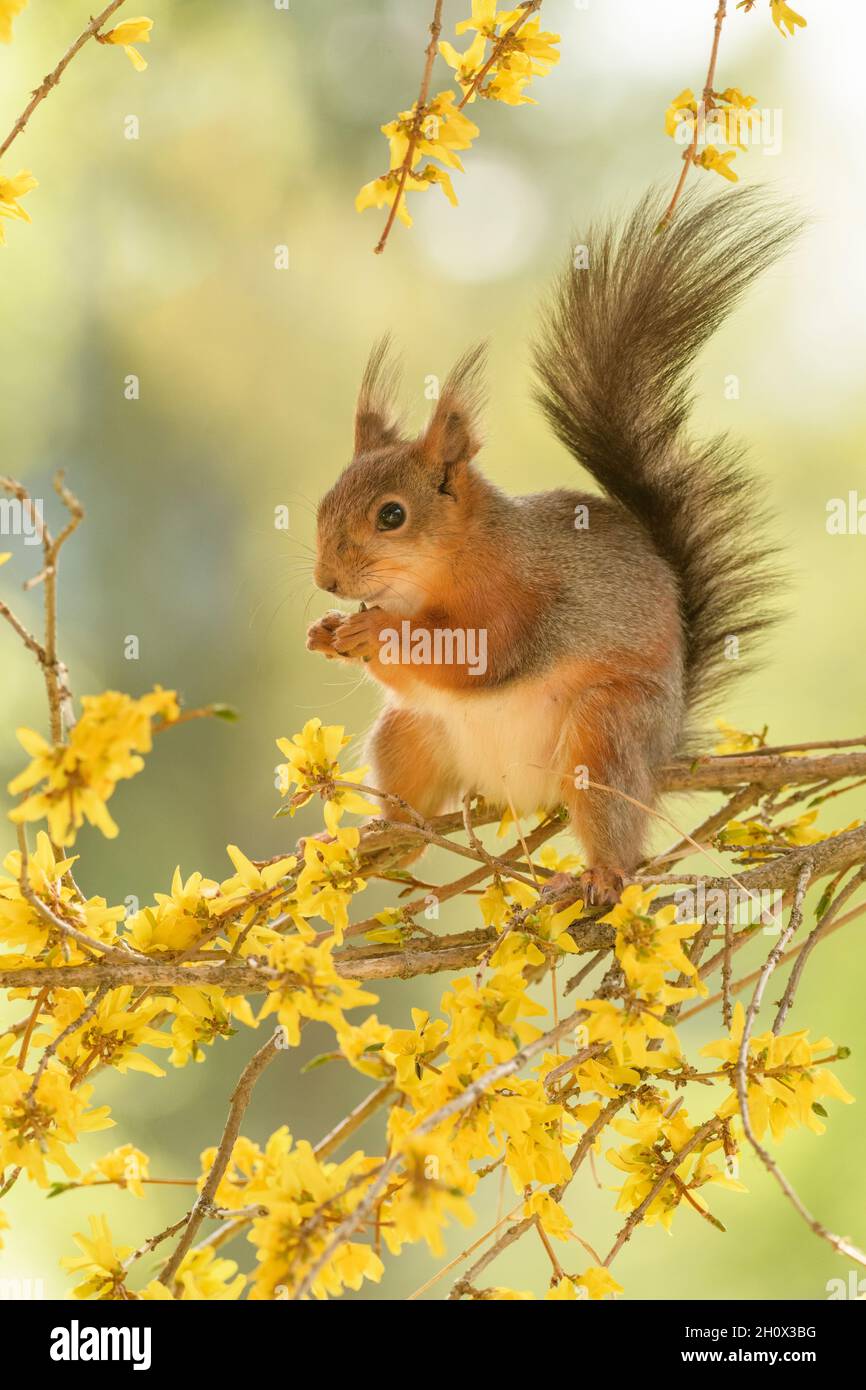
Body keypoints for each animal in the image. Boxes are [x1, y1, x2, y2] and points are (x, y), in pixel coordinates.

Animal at [306, 189, 796, 906]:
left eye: (391, 515)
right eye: (323, 501)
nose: (328, 582)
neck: (436, 576)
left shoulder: (521, 597)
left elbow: (479, 655)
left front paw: (373, 635)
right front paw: (326, 631)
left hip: (607, 732)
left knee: (610, 814)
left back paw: (604, 874)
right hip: (408, 735)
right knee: (416, 815)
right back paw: (381, 837)